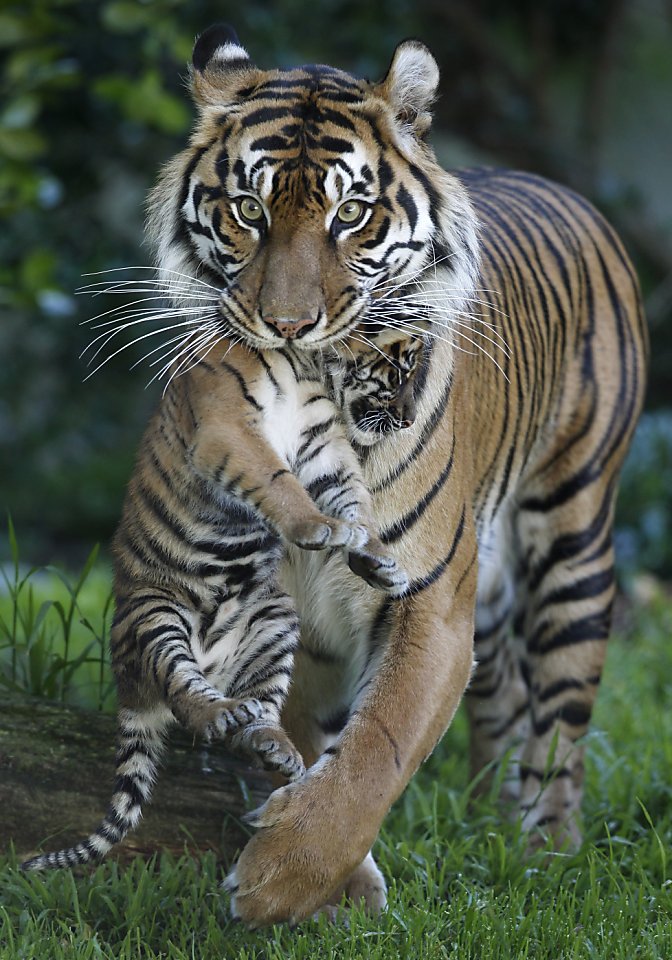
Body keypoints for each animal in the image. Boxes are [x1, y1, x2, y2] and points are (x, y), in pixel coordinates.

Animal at [21, 333, 415, 871]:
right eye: (400, 365)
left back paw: (273, 745)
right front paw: (321, 528)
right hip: (157, 615)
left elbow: (350, 493)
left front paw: (378, 560)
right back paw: (217, 713)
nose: (409, 419)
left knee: (256, 712)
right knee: (185, 694)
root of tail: (129, 693)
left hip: (275, 618)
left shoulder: (321, 447)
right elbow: (277, 481)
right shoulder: (229, 431)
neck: (305, 365)